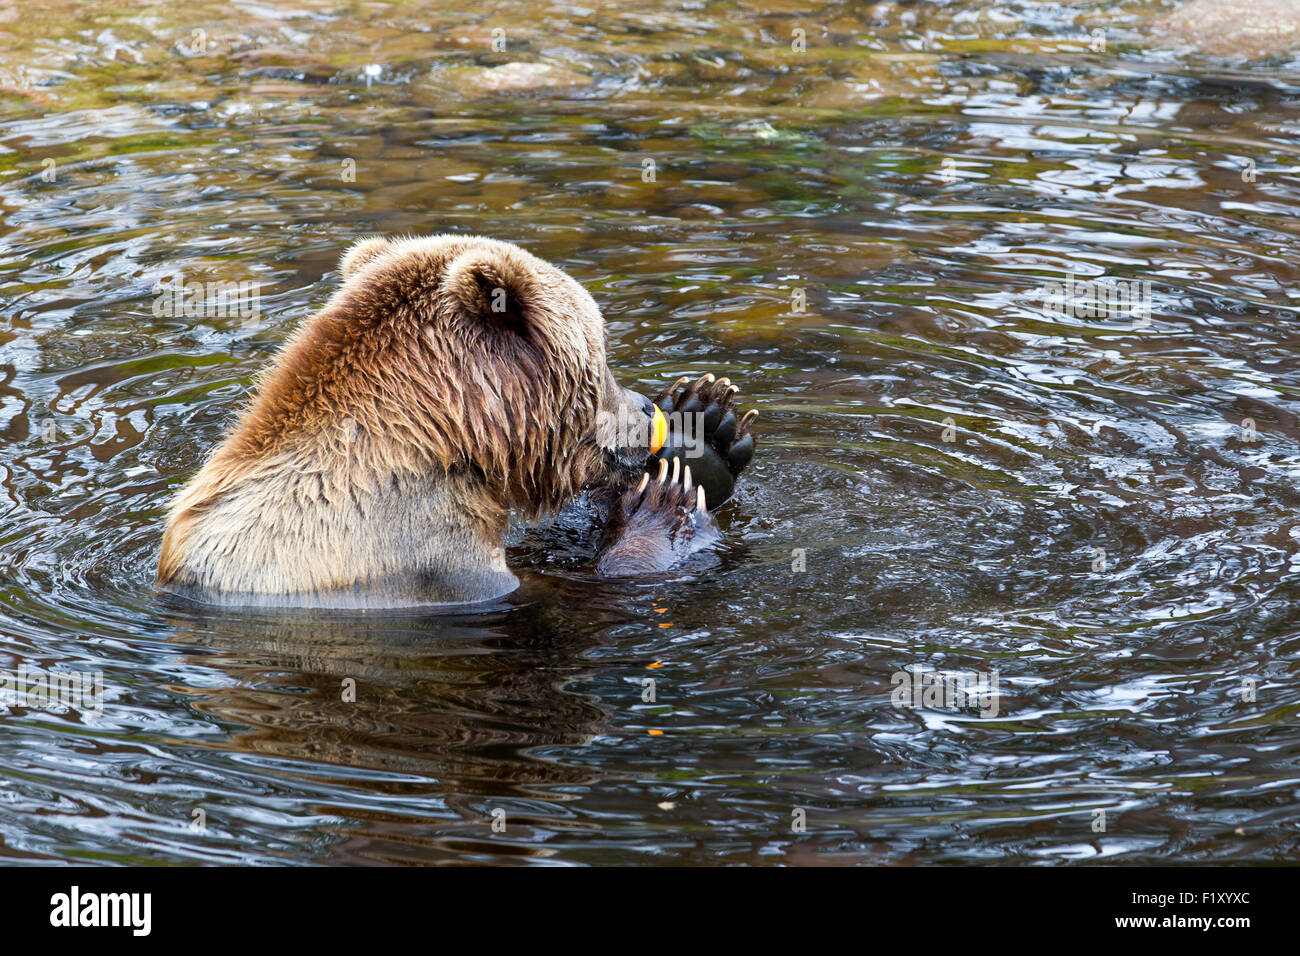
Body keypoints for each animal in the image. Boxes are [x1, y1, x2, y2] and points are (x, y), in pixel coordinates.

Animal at [157, 234, 757, 608]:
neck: (443, 442)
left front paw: (707, 426)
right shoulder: (425, 557)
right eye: (601, 353)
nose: (643, 409)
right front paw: (663, 507)